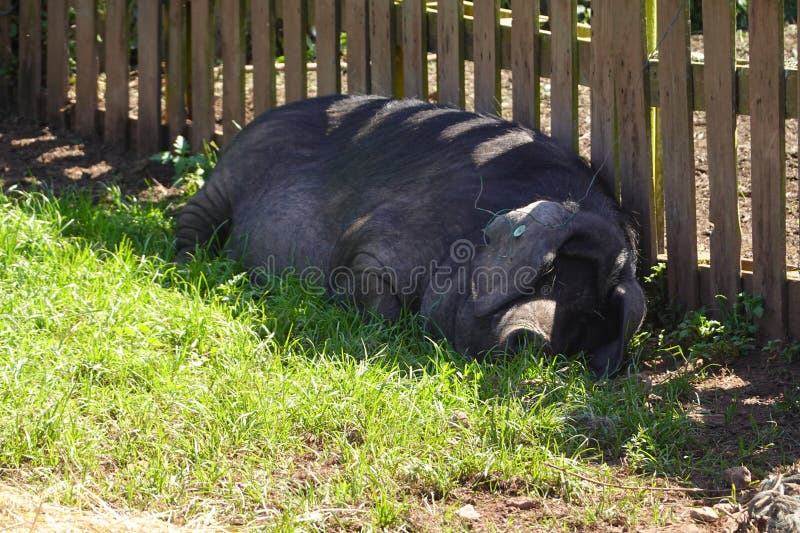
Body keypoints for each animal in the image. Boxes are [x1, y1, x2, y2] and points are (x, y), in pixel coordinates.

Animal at [176, 94, 646, 375]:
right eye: (547, 275)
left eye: (583, 321)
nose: (535, 338)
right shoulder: (373, 243)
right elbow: (377, 297)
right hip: (224, 181)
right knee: (189, 221)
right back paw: (192, 267)